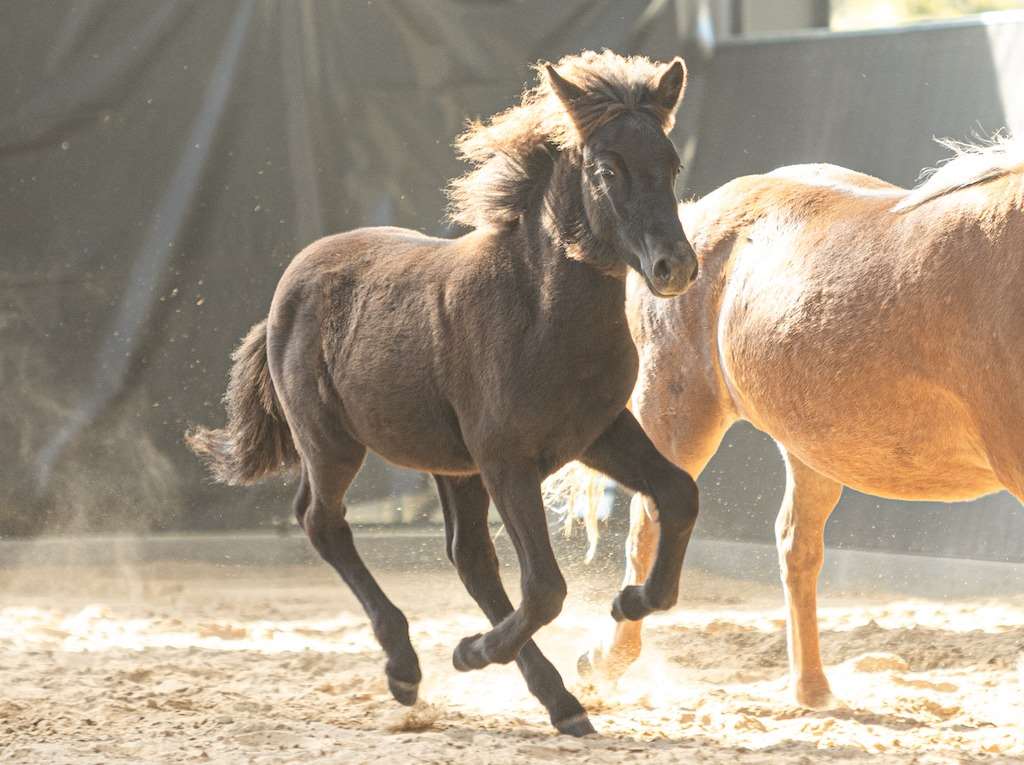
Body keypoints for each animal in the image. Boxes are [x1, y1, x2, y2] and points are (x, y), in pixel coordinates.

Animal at [187, 50, 701, 736]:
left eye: (670, 163)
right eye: (606, 168)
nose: (676, 266)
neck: (540, 313)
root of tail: (284, 294)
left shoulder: (598, 432)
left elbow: (678, 494)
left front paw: (631, 599)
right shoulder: (506, 460)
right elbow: (546, 586)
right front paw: (468, 652)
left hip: (450, 467)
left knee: (470, 557)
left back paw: (559, 702)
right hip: (333, 444)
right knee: (323, 521)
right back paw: (408, 668)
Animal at [579, 136, 1024, 710]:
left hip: (810, 446)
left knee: (796, 547)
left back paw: (812, 690)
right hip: (678, 414)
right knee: (647, 528)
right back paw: (603, 663)